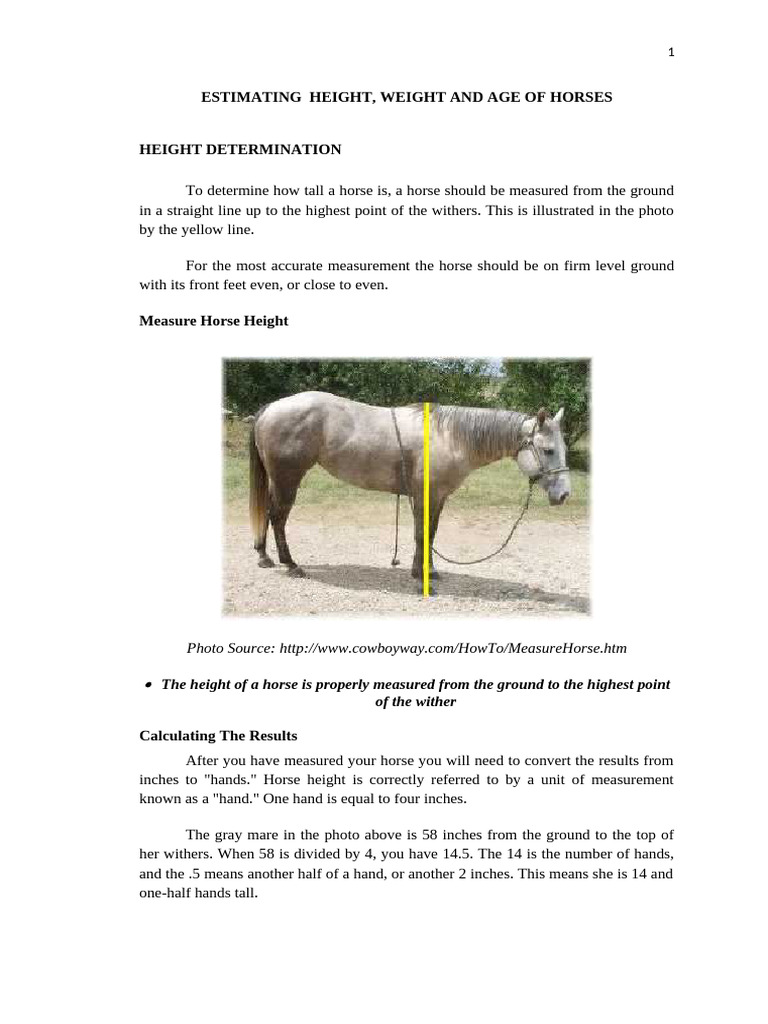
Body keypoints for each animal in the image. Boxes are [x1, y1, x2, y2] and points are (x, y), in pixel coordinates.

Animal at [248, 391, 571, 579]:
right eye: (548, 450)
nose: (564, 494)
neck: (450, 437)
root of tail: (270, 408)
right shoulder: (425, 495)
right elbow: (420, 534)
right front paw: (420, 575)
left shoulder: (435, 497)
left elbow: (430, 534)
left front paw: (427, 571)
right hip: (287, 479)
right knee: (278, 517)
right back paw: (290, 564)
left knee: (269, 514)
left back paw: (264, 557)